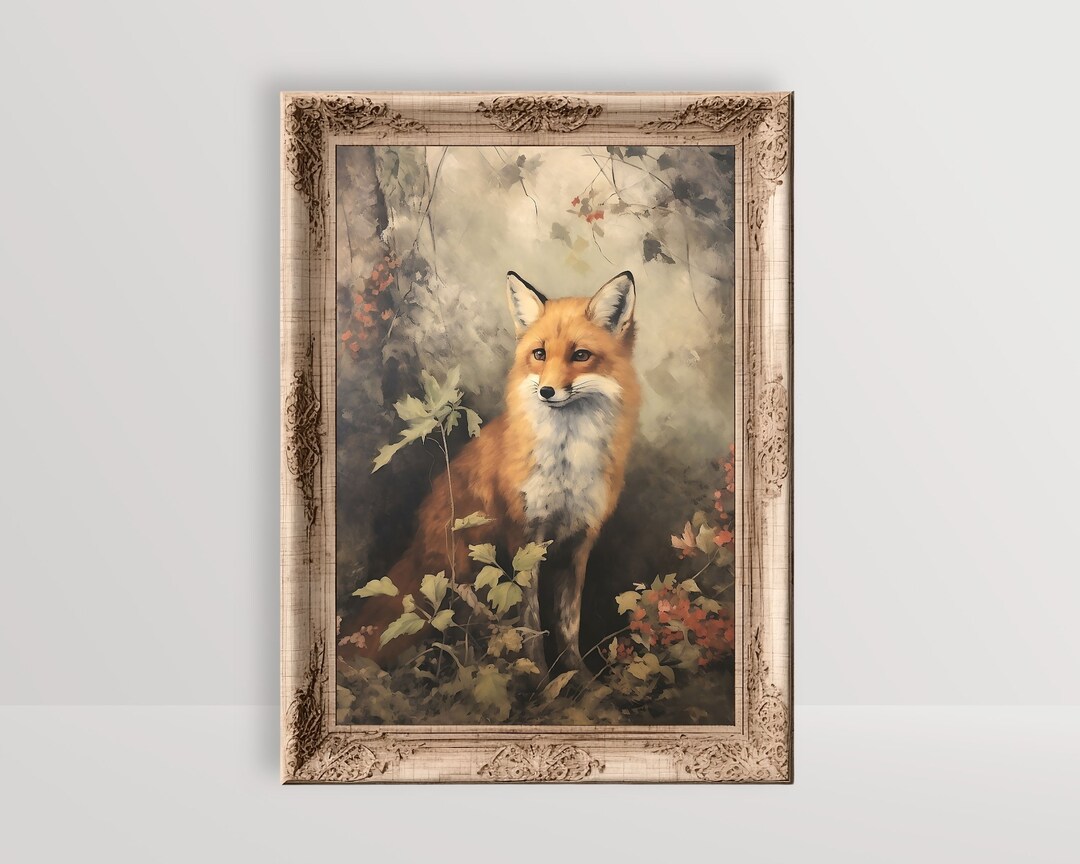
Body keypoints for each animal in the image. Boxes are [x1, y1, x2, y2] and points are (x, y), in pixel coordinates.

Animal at [342, 270, 641, 676]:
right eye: (539, 354)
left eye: (581, 355)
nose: (547, 391)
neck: (566, 462)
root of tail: (417, 546)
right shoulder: (525, 538)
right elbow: (530, 626)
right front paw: (540, 681)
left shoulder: (579, 543)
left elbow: (569, 628)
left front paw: (580, 682)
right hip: (463, 568)